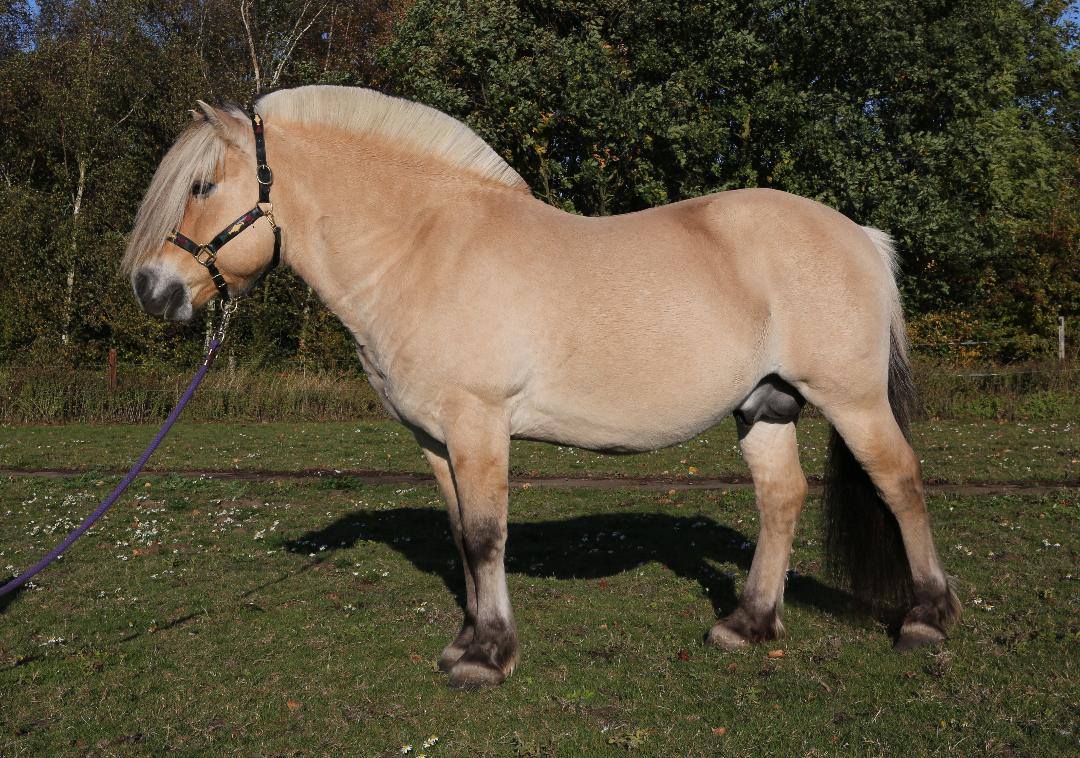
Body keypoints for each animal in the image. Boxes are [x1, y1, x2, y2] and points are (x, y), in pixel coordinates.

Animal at [123, 85, 960, 687]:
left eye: (203, 184)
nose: (153, 290)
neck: (423, 248)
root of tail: (860, 235)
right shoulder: (435, 438)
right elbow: (461, 532)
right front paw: (467, 639)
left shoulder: (478, 423)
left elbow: (487, 535)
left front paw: (487, 657)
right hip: (763, 405)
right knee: (781, 498)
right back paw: (747, 624)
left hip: (851, 399)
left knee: (899, 481)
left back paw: (926, 617)